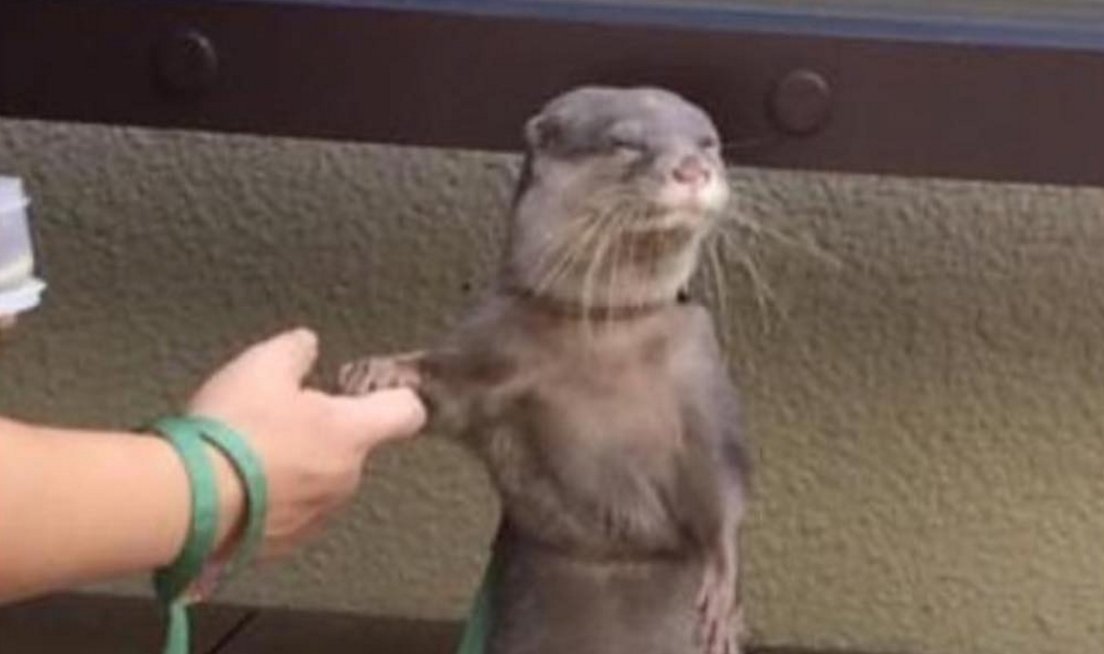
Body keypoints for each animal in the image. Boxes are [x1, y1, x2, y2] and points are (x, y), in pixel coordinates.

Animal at [340, 86, 748, 654]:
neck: (605, 338)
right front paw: (381, 369)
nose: (692, 168)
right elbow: (446, 382)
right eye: (624, 141)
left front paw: (723, 591)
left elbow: (723, 479)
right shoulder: (494, 339)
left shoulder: (700, 374)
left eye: (709, 143)